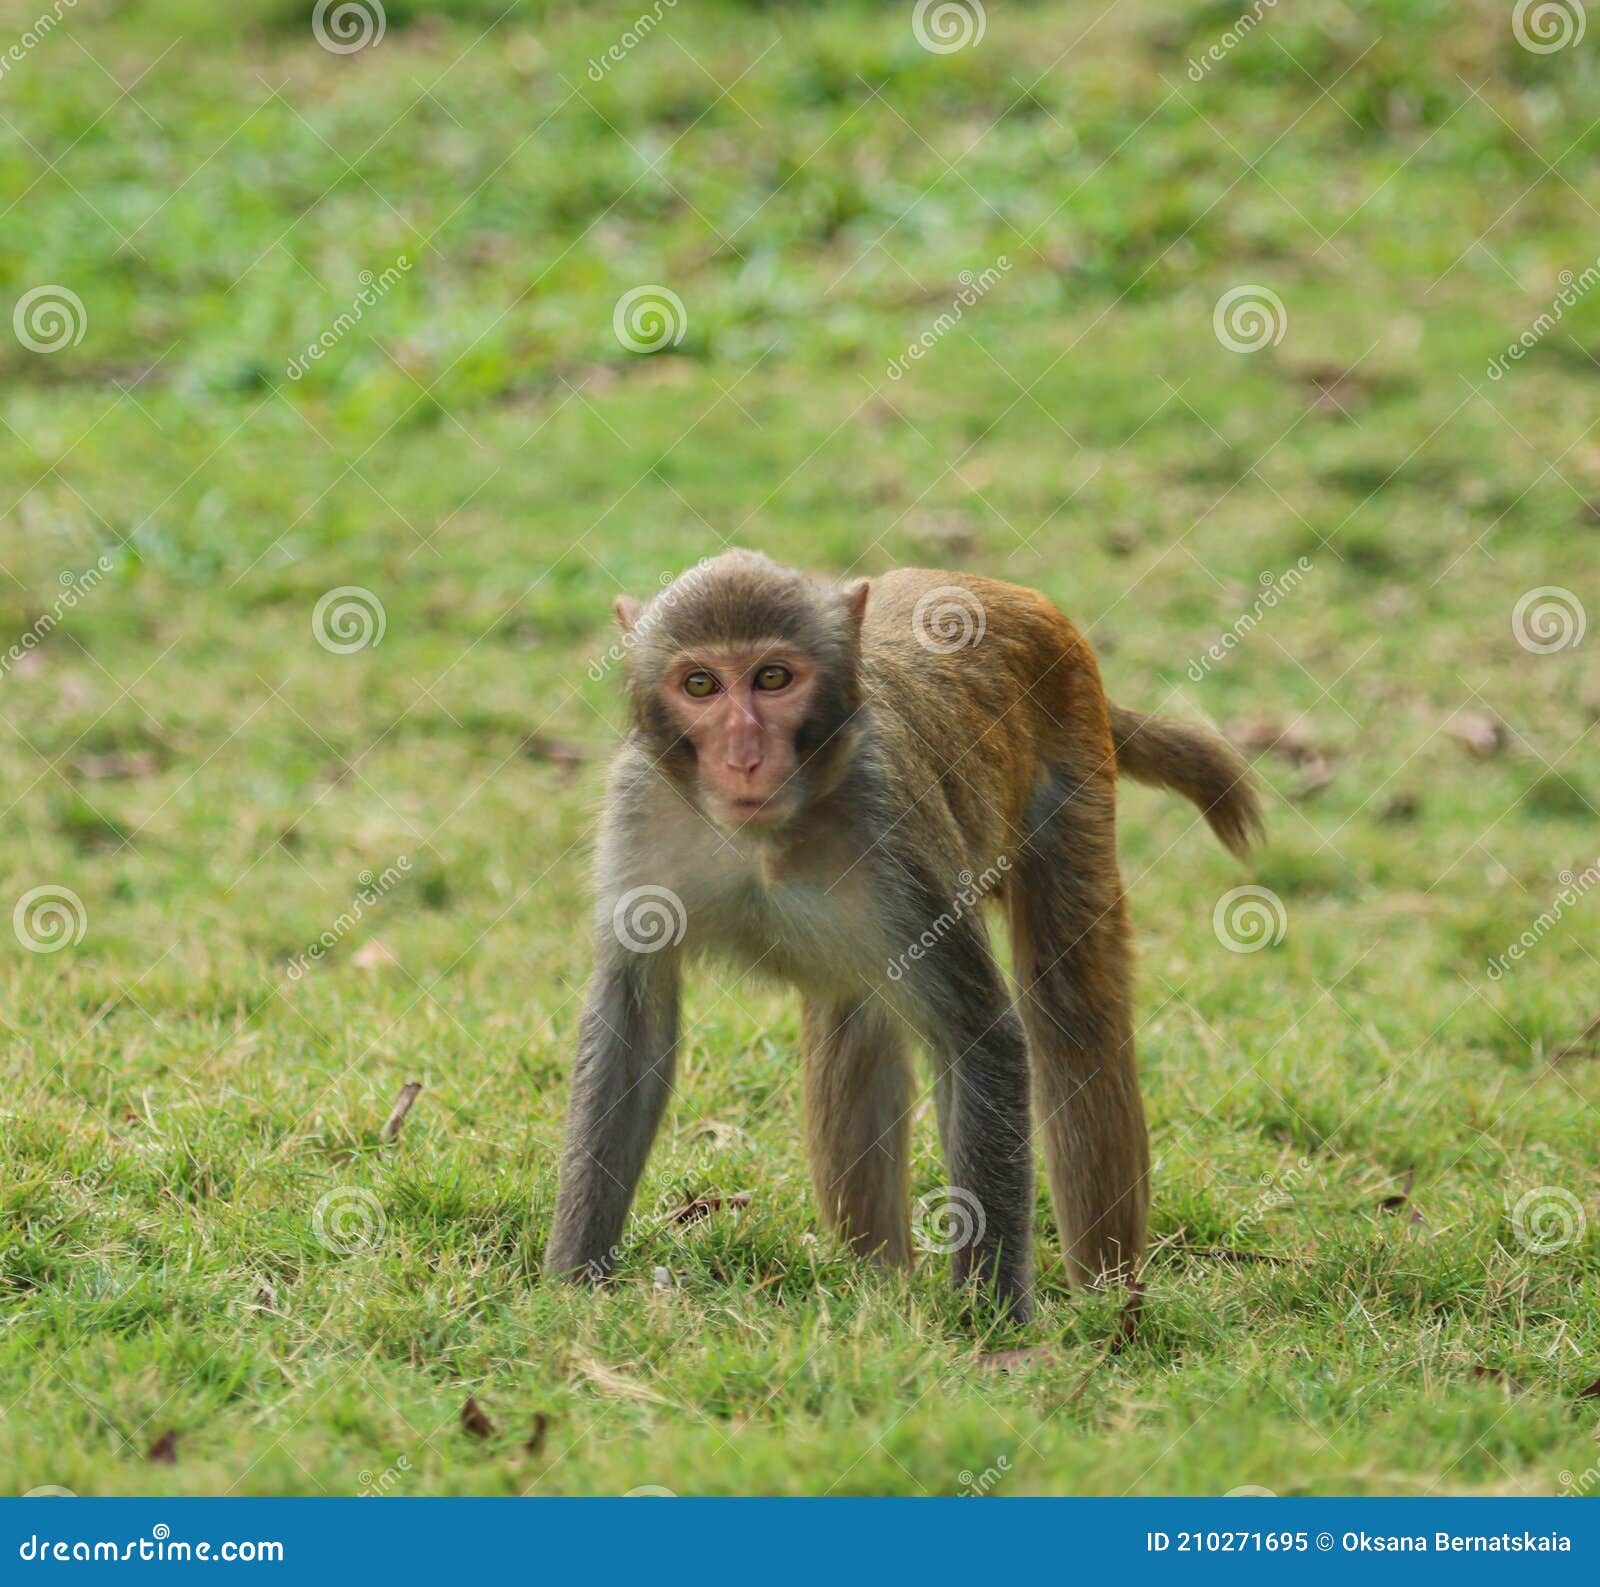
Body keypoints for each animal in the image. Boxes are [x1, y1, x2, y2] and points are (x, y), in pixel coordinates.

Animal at [544, 550, 1262, 1321]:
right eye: (700, 684)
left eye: (773, 677)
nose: (743, 756)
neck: (767, 839)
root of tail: (1004, 592)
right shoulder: (639, 808)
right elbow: (634, 1016)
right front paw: (572, 1279)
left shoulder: (895, 829)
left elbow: (982, 1037)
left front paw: (992, 1321)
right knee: (853, 1016)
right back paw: (878, 1282)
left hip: (1074, 765)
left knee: (1072, 1012)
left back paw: (1109, 1300)